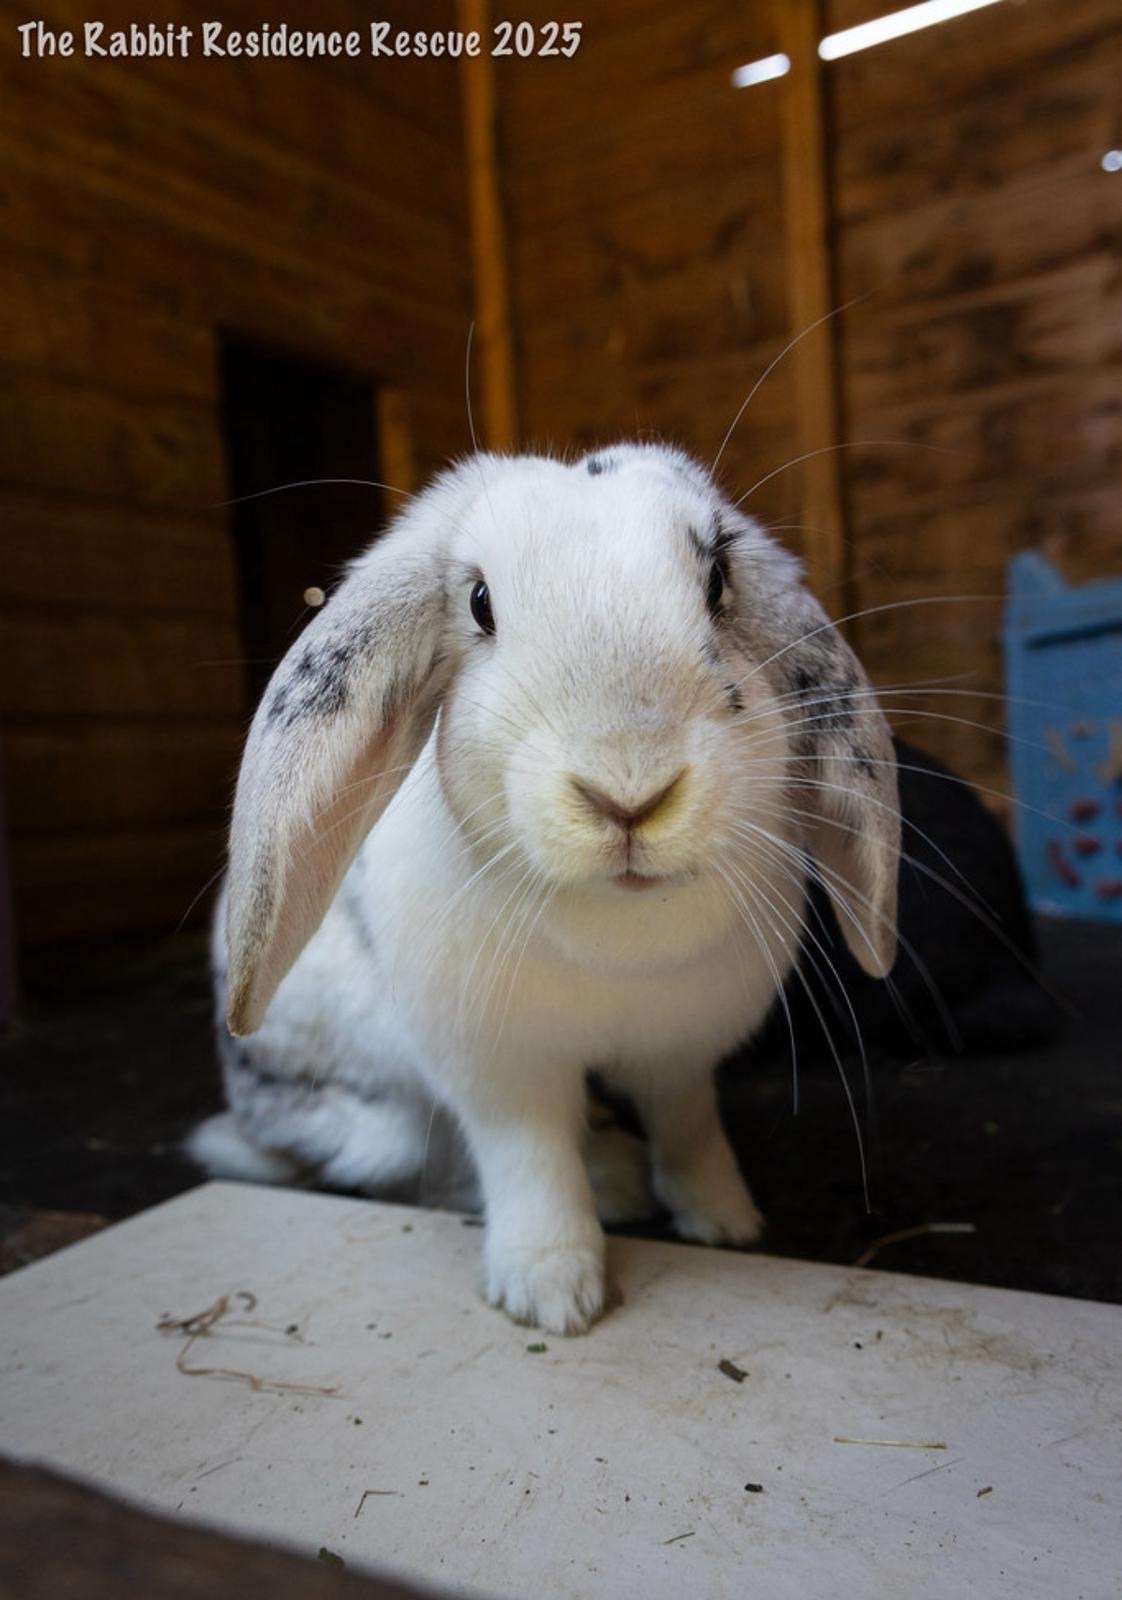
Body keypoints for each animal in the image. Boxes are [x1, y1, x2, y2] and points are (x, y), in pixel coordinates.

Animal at [189, 442, 900, 1334]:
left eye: (718, 582)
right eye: (480, 603)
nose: (629, 792)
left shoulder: (683, 1053)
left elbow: (690, 1127)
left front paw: (726, 1220)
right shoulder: (500, 1069)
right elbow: (528, 1162)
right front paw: (551, 1294)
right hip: (376, 1090)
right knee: (412, 1166)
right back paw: (611, 1181)